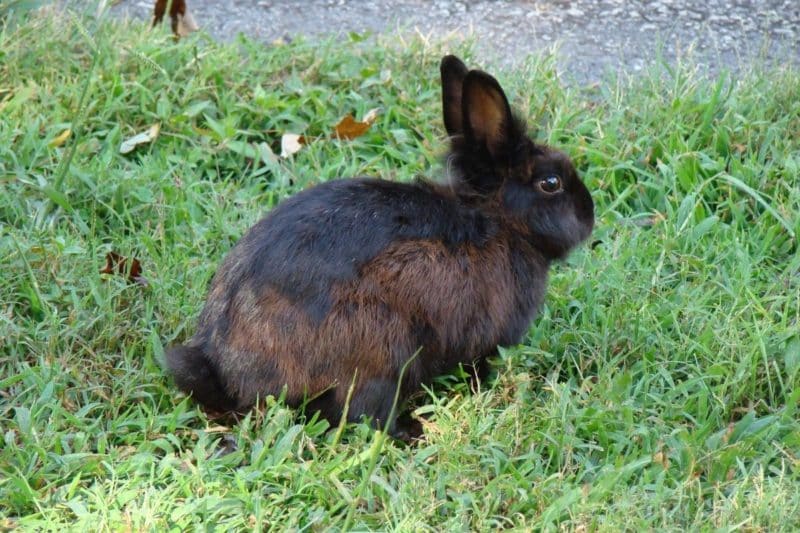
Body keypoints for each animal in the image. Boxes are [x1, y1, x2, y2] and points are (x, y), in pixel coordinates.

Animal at [165, 55, 594, 439]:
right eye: (551, 183)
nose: (590, 215)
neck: (498, 220)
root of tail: (231, 373)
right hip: (383, 349)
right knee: (362, 412)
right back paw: (412, 431)